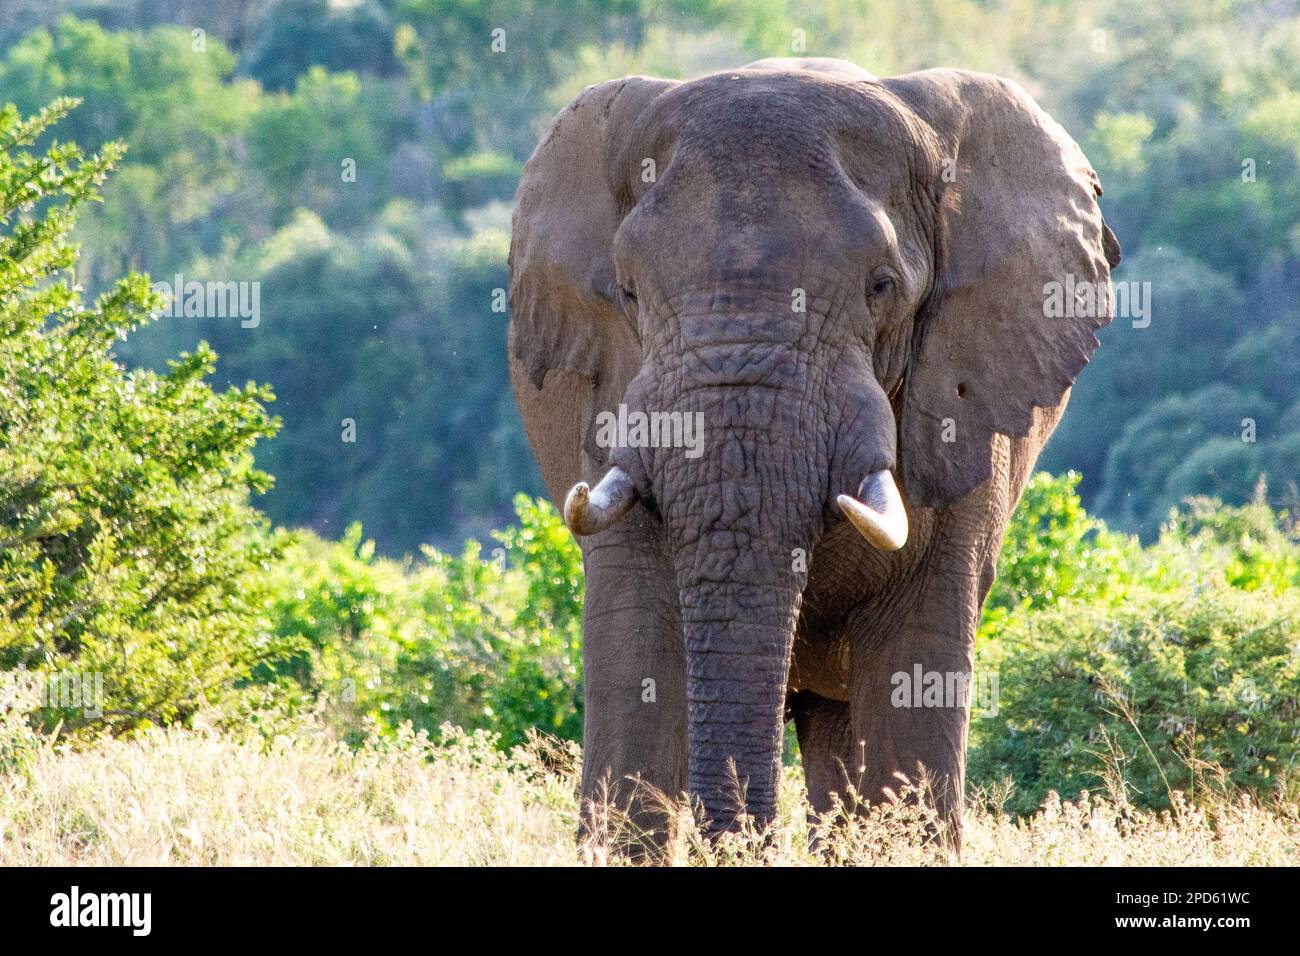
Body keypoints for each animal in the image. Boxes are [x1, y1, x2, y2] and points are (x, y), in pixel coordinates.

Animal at [507, 57, 1121, 847]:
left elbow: (917, 659)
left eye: (882, 287)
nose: (742, 846)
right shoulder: (611, 395)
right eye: (629, 292)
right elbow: (636, 644)